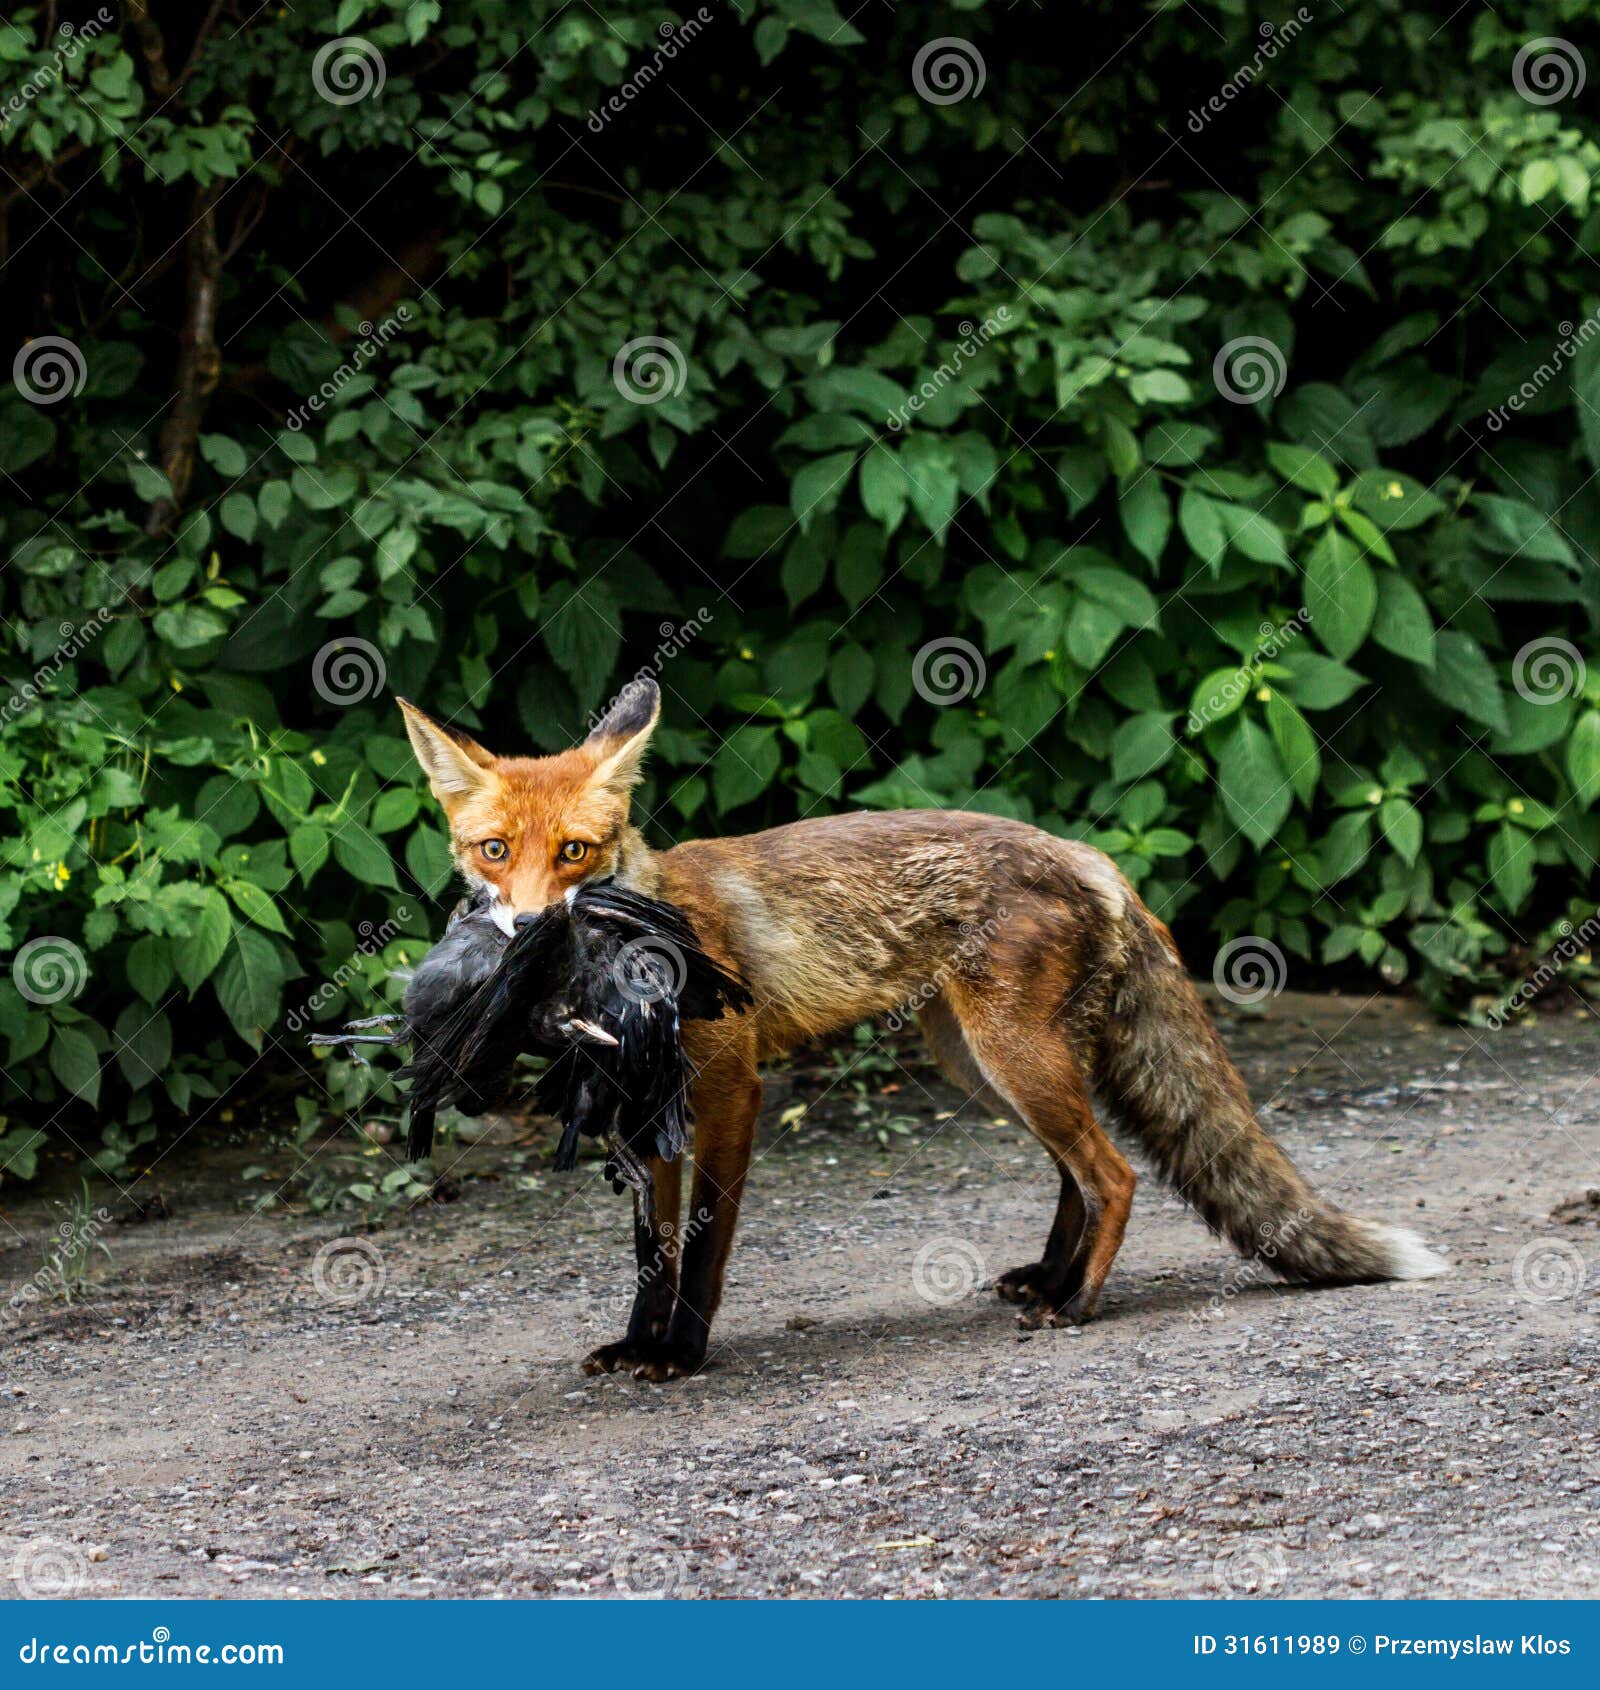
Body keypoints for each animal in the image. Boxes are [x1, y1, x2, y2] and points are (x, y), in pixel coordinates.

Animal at [396, 678, 1446, 1381]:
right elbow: (650, 1252)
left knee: (1113, 1173)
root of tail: (1089, 854)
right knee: (1075, 1173)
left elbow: (700, 1244)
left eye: (576, 852)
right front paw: (637, 1343)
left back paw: (1078, 1303)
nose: (531, 929)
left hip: (1013, 1060)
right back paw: (1048, 1278)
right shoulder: (650, 1107)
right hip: (980, 1065)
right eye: (495, 850)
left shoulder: (733, 1090)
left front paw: (683, 1353)